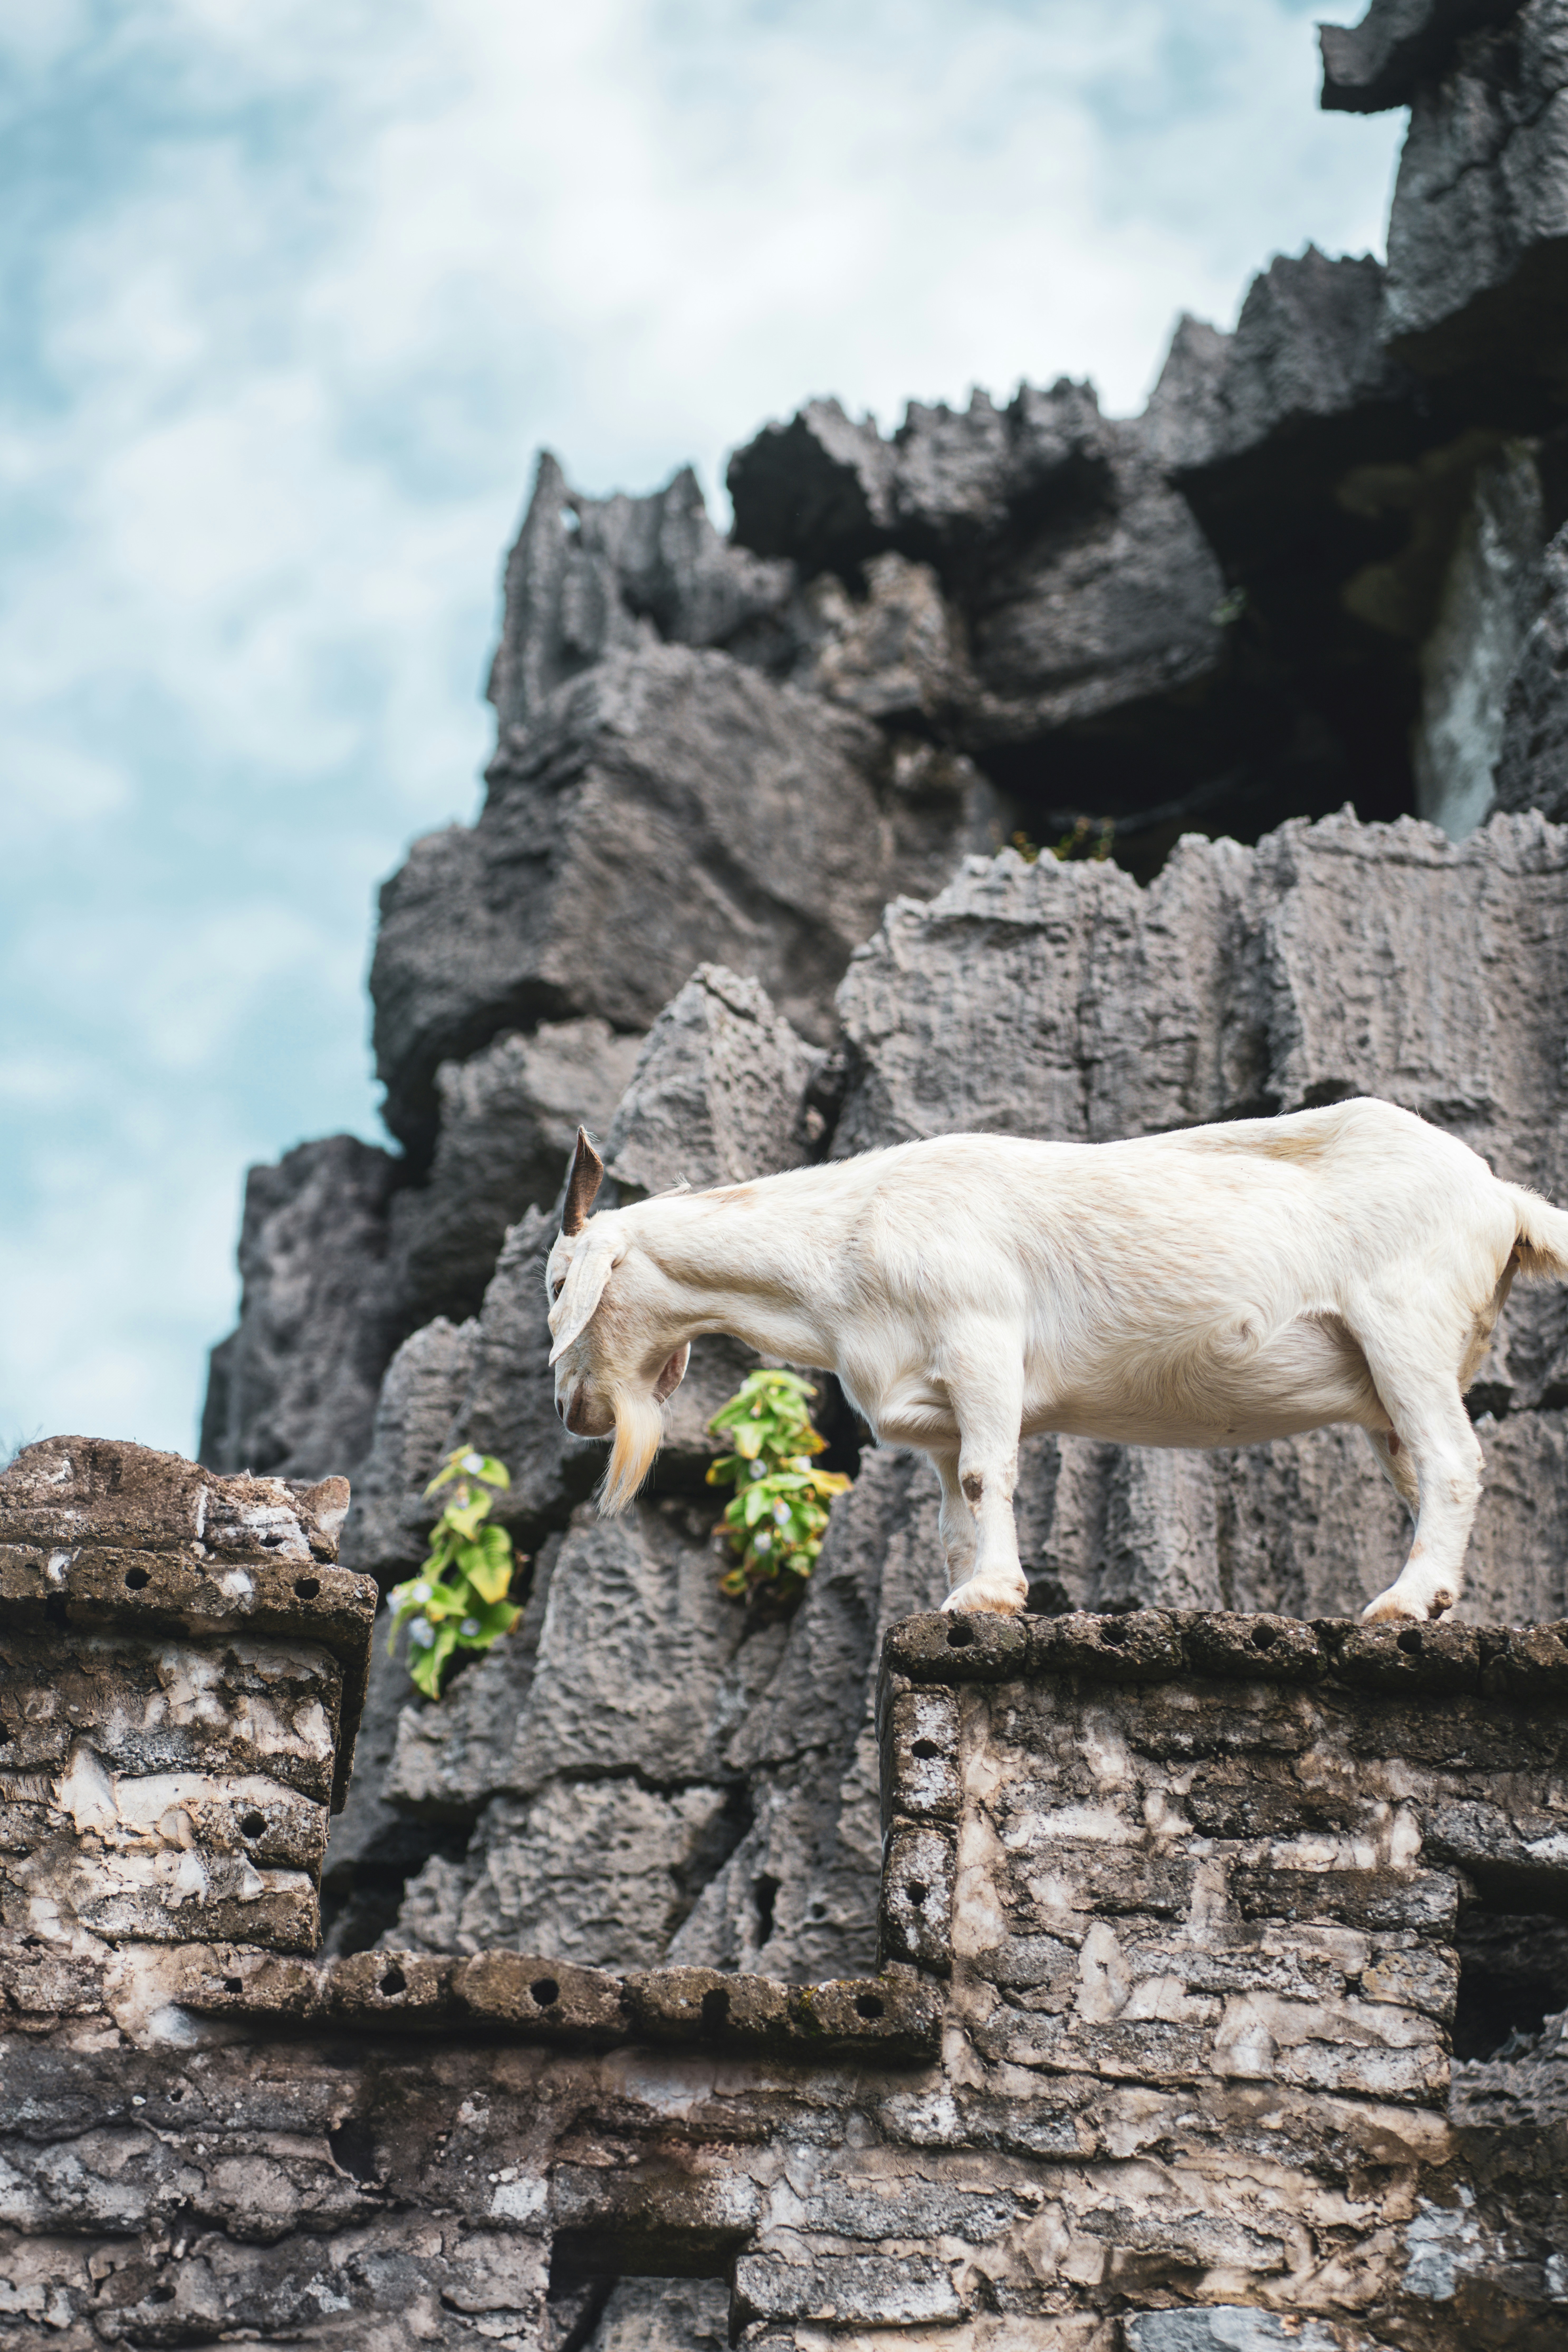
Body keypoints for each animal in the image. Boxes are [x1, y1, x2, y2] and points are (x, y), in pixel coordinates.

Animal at [545, 1098, 1568, 1622]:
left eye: (559, 1281)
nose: (571, 1412)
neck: (843, 1239)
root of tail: (1498, 1197)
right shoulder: (931, 1411)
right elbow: (952, 1506)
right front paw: (965, 1590)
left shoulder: (981, 1336)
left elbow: (989, 1473)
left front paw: (996, 1596)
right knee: (1421, 1465)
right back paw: (1431, 1601)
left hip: (1403, 1321)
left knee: (1452, 1457)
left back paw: (1402, 1603)